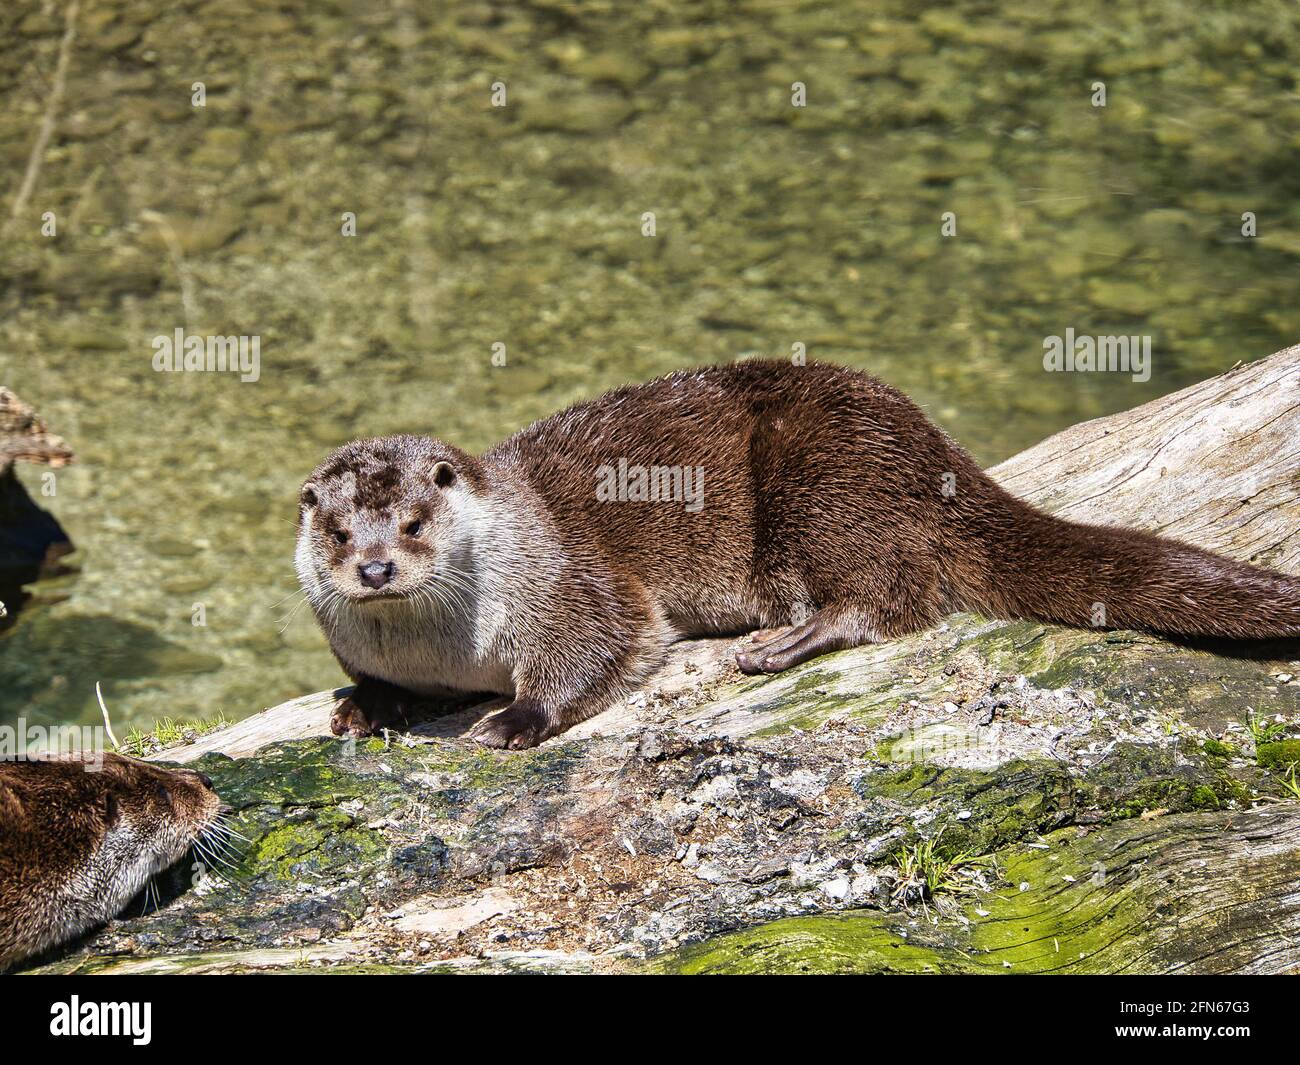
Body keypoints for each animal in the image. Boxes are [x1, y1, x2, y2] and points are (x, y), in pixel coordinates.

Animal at [296, 359, 1300, 749]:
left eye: (414, 522)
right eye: (340, 532)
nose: (375, 569)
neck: (447, 651)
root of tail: (933, 451)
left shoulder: (571, 581)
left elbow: (604, 644)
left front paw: (513, 719)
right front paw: (361, 704)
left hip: (825, 481)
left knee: (892, 593)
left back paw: (784, 642)